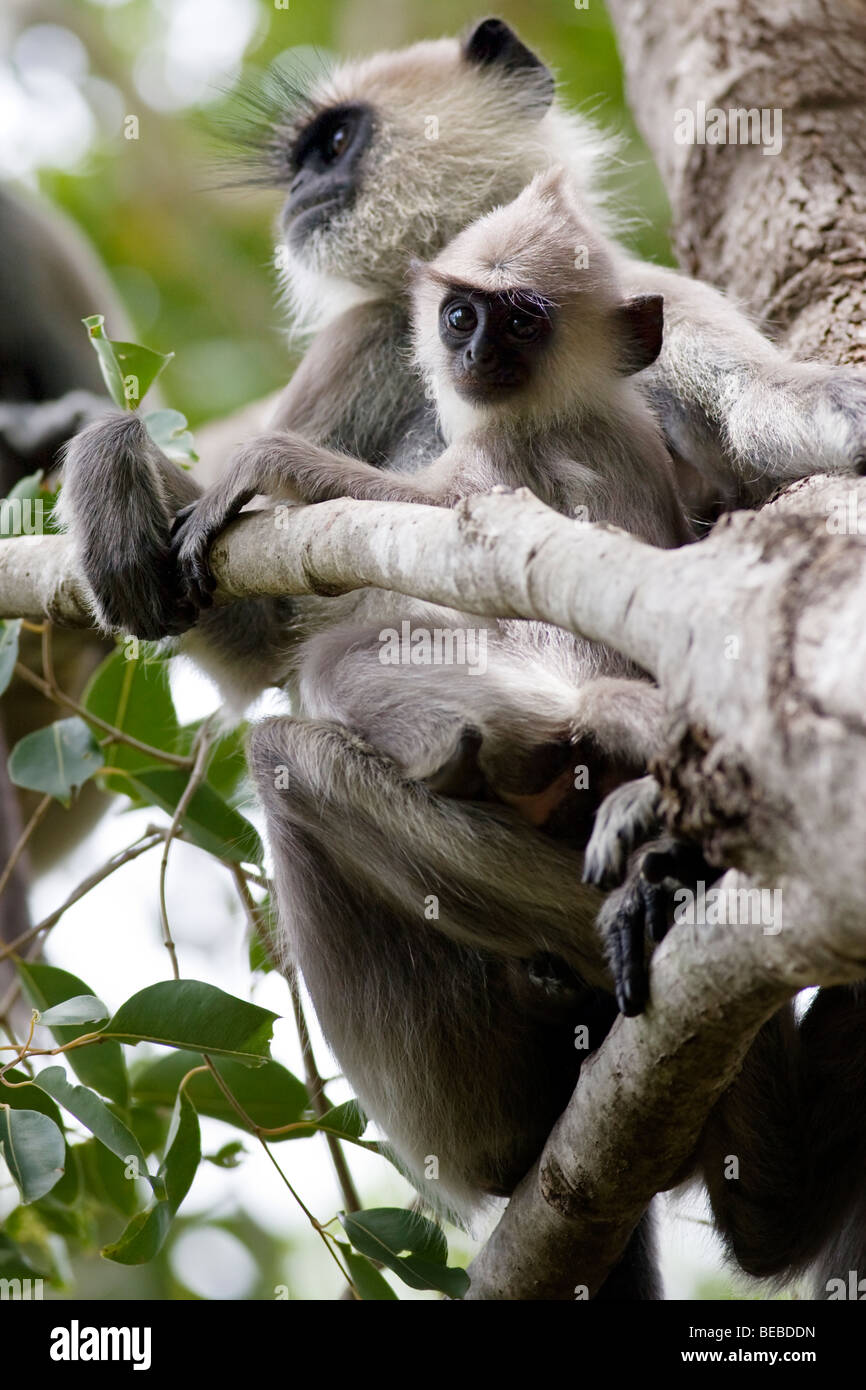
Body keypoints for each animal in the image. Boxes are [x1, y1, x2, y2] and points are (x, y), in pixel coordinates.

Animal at [57, 18, 866, 1294]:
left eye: (335, 140)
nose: (302, 192)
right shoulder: (368, 336)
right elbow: (251, 637)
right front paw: (110, 467)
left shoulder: (656, 307)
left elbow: (776, 426)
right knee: (298, 746)